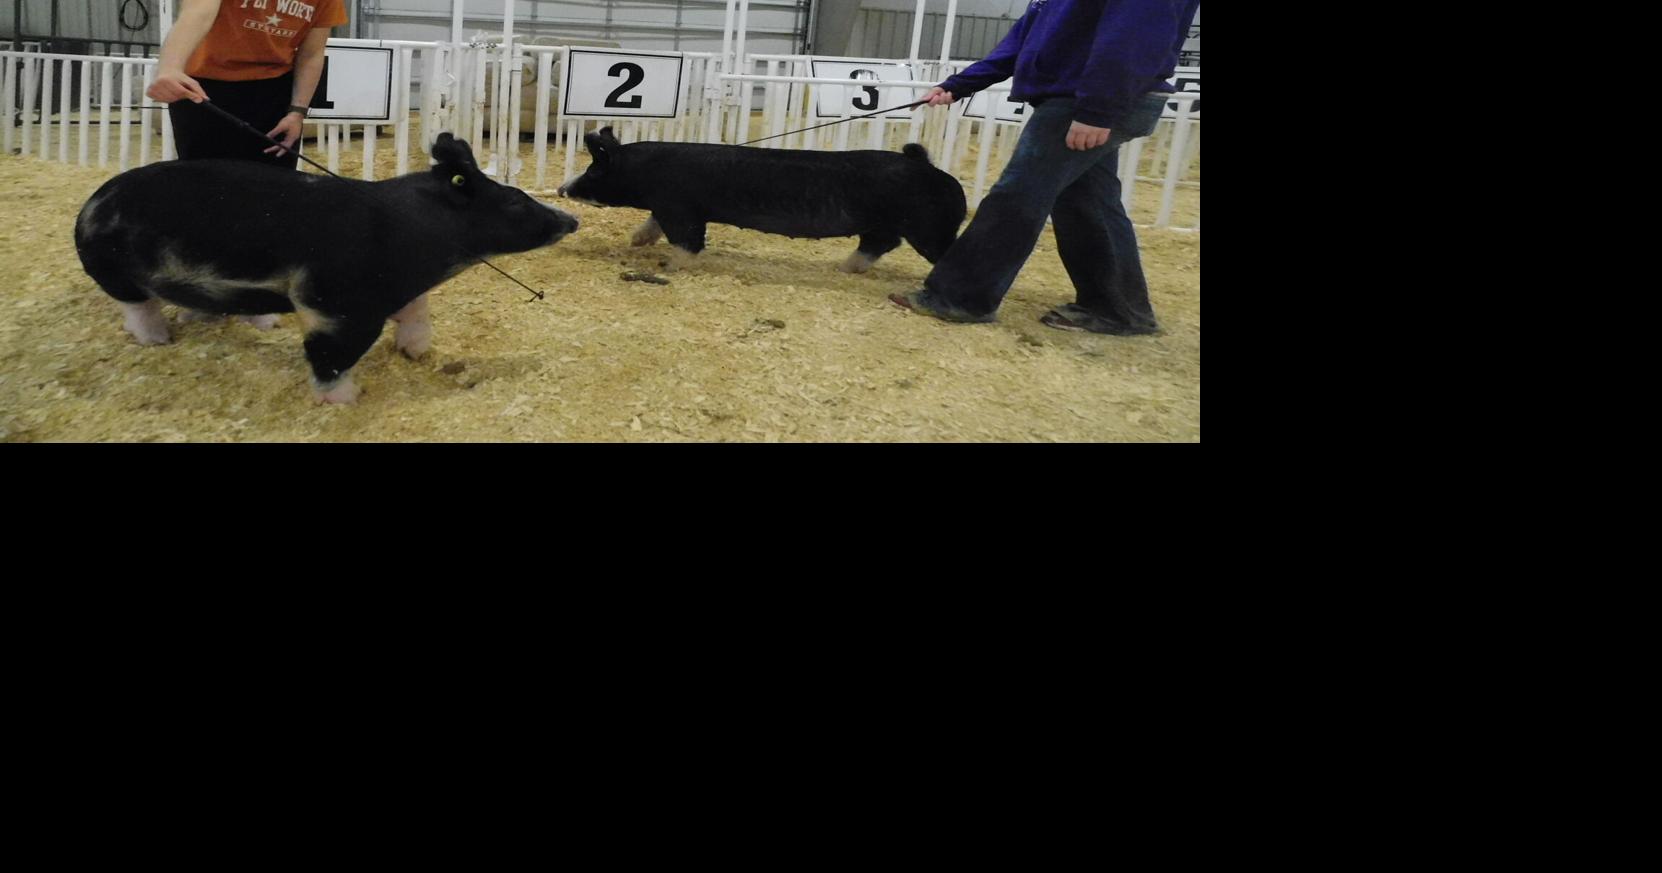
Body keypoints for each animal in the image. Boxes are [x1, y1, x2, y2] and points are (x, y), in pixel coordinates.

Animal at [74, 133, 579, 404]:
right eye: (515, 201)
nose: (571, 220)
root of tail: (91, 207)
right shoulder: (335, 305)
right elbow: (330, 357)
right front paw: (347, 401)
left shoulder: (401, 289)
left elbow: (417, 314)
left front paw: (416, 354)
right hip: (117, 273)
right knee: (138, 309)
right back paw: (159, 341)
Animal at [556, 127, 966, 274]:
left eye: (593, 171)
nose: (563, 188)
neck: (644, 172)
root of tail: (929, 167)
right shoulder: (667, 208)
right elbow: (653, 225)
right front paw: (635, 242)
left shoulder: (681, 209)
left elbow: (689, 242)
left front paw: (669, 267)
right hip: (883, 224)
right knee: (879, 244)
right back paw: (844, 269)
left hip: (930, 229)